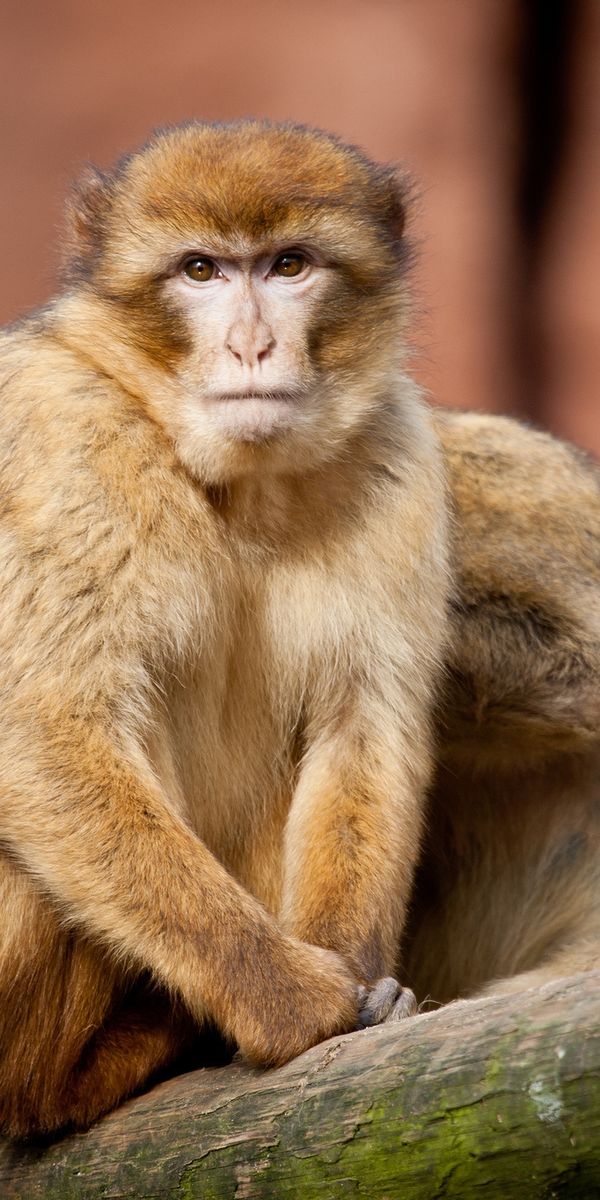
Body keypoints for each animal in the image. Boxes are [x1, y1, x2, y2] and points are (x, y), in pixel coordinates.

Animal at [0, 120, 450, 1137]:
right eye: (201, 270)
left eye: (289, 266)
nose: (252, 344)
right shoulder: (61, 435)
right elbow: (41, 726)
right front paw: (289, 999)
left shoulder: (398, 450)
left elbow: (362, 724)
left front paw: (361, 988)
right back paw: (79, 1078)